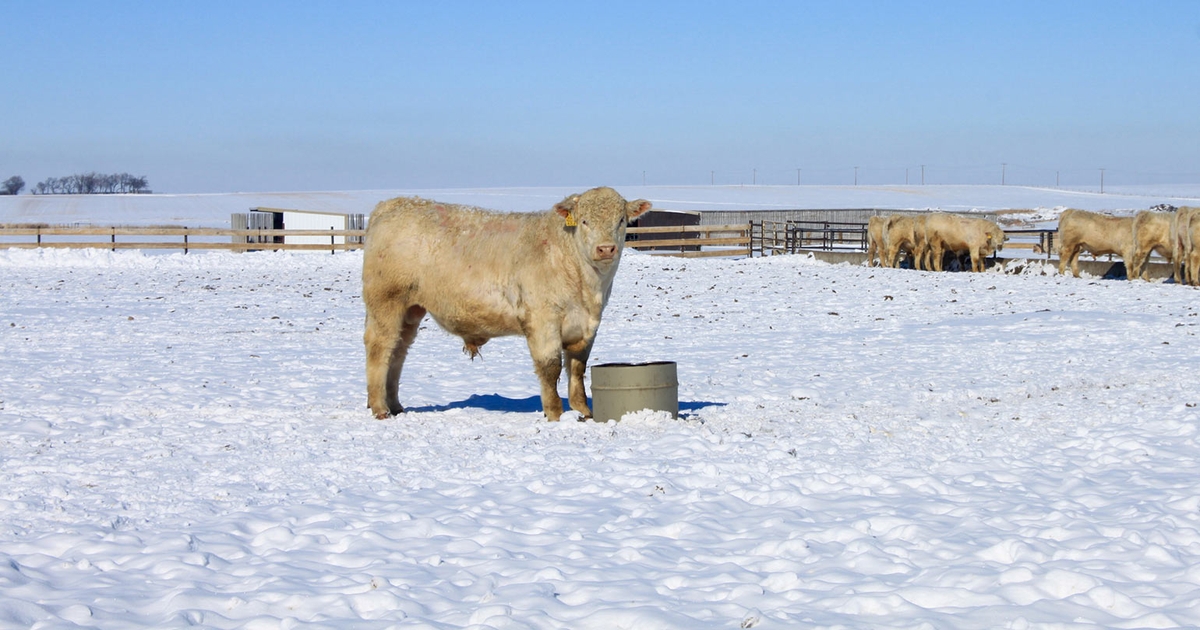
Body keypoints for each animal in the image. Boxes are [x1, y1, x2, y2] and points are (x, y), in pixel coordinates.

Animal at [362, 187, 651, 421]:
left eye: (621, 220)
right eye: (584, 221)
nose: (606, 249)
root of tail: (395, 203)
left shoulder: (586, 326)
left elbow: (578, 369)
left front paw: (583, 412)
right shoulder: (543, 320)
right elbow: (550, 367)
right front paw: (555, 414)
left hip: (411, 309)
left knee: (399, 351)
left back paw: (396, 405)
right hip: (386, 301)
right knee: (381, 347)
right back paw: (380, 408)